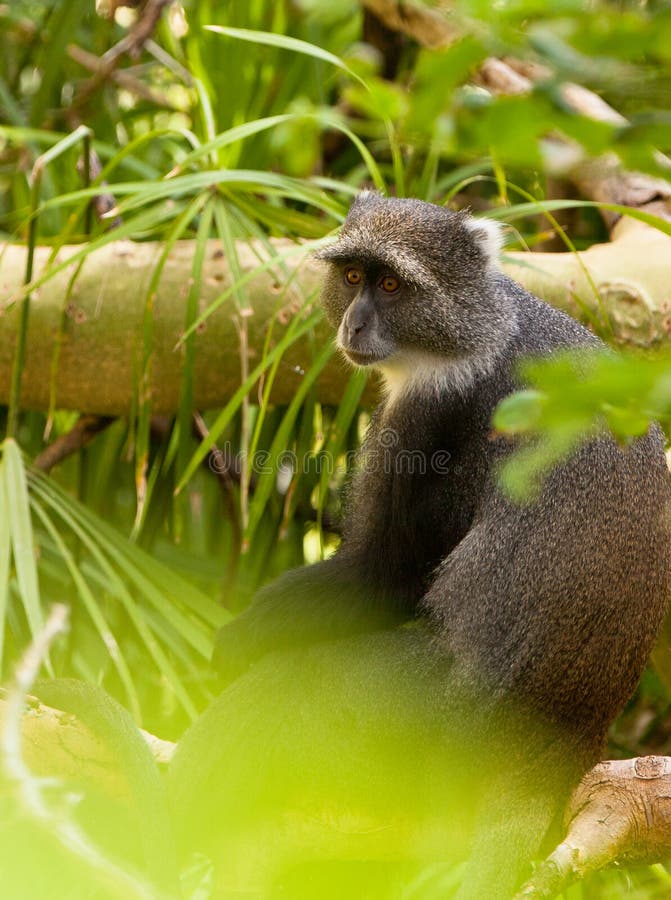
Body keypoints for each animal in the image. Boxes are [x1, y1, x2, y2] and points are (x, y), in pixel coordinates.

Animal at [208, 192, 671, 897]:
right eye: (352, 277)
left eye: (392, 285)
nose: (354, 324)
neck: (483, 329)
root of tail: (559, 745)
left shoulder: (429, 423)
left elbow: (382, 577)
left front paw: (240, 638)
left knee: (279, 697)